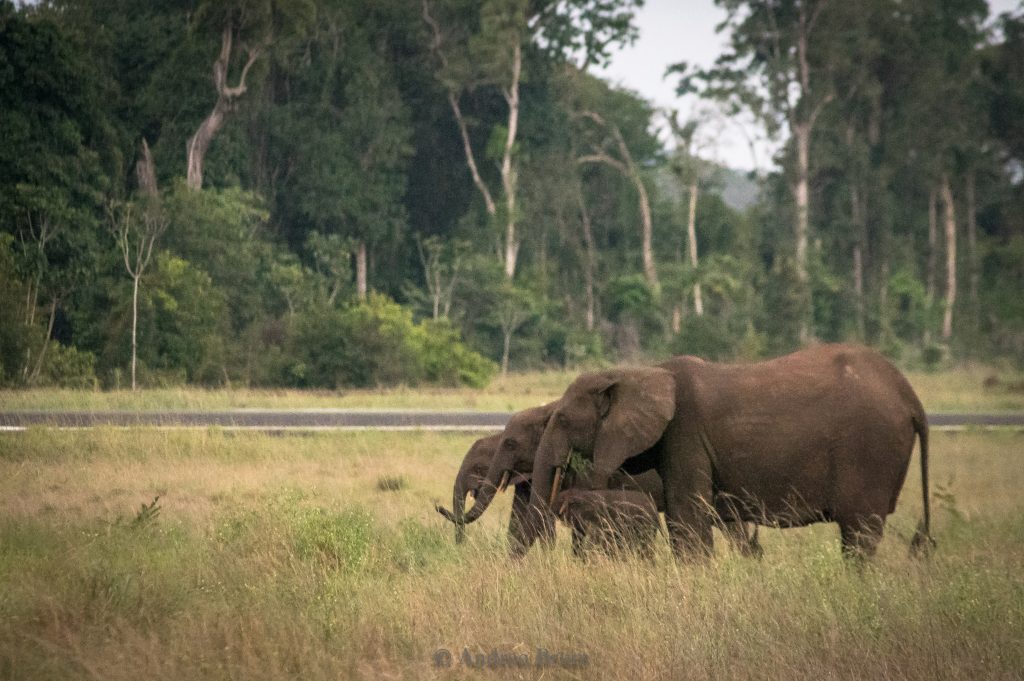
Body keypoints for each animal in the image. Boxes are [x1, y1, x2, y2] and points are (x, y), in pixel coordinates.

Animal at [524, 343, 933, 560]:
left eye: (563, 419)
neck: (638, 373)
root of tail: (910, 396)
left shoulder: (686, 435)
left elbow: (687, 517)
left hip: (870, 450)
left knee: (859, 534)